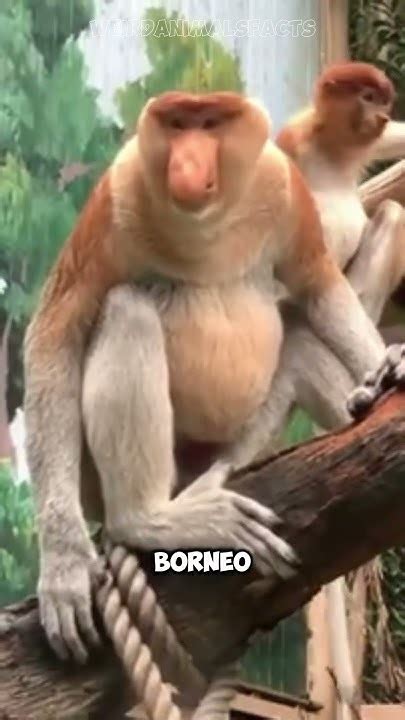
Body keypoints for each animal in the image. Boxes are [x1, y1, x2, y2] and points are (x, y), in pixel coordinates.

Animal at [24, 89, 389, 665]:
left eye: (211, 123)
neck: (206, 224)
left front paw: (391, 368)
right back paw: (150, 518)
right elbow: (56, 335)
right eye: (178, 124)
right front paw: (64, 568)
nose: (188, 163)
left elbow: (318, 286)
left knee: (299, 341)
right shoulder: (115, 196)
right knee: (126, 308)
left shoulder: (284, 186)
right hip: (97, 480)